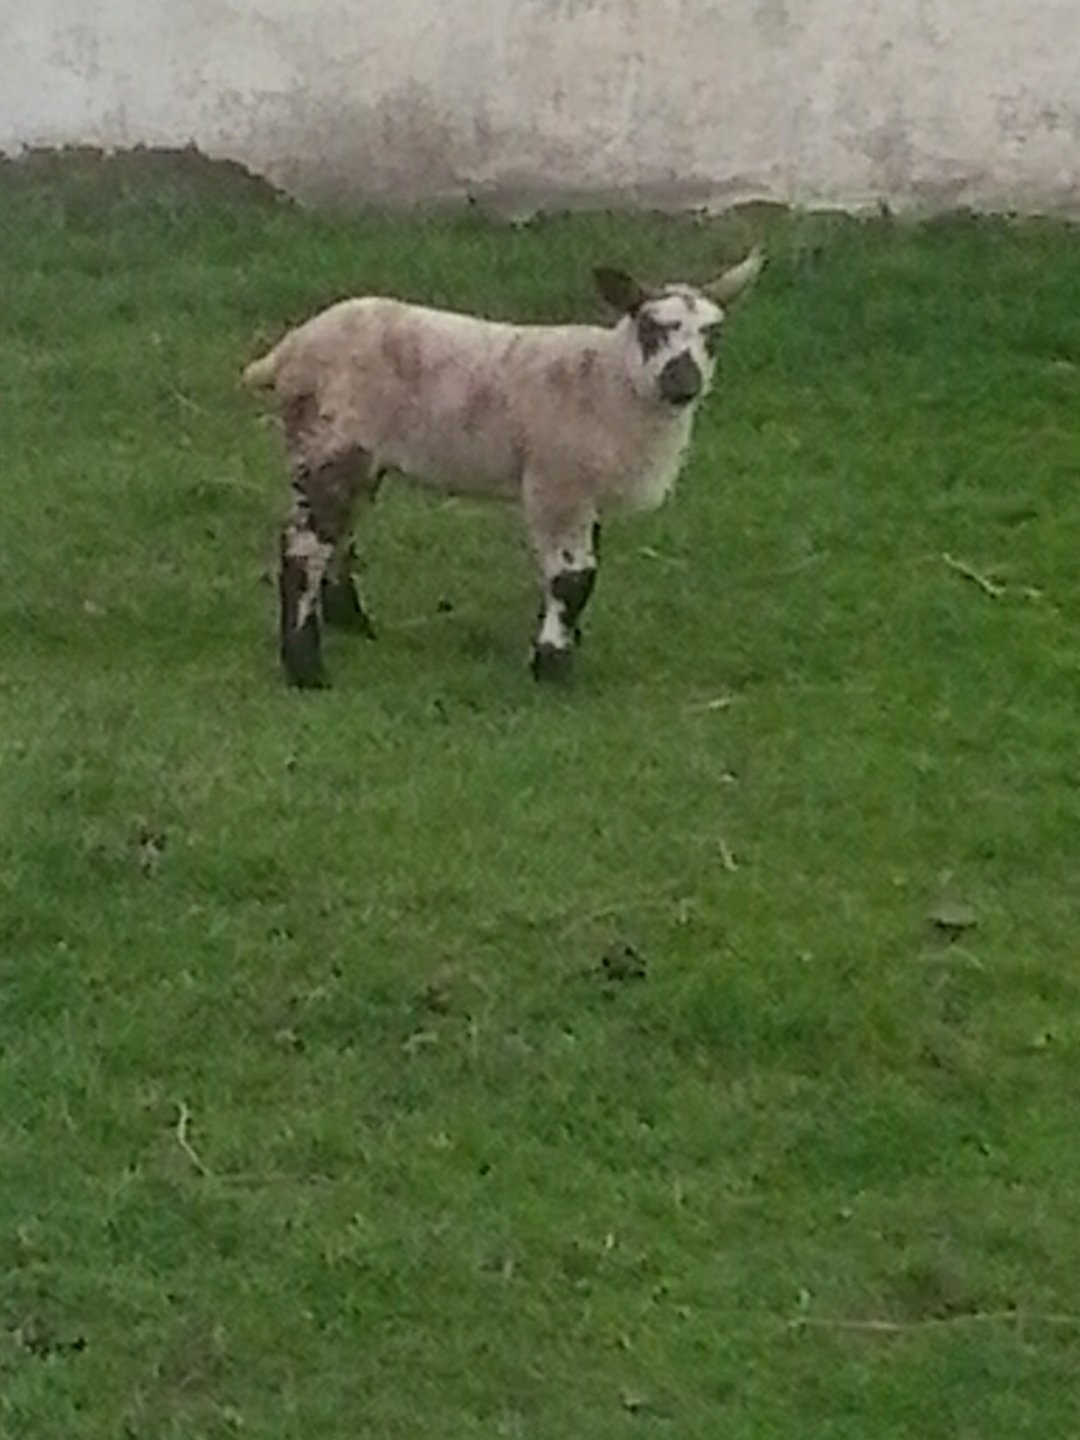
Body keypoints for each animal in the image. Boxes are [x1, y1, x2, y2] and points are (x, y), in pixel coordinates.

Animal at [243, 247, 764, 688]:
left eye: (714, 335)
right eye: (651, 327)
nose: (683, 382)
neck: (608, 380)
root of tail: (289, 351)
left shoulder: (584, 490)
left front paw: (565, 643)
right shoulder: (558, 483)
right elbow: (573, 578)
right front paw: (553, 667)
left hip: (340, 450)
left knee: (336, 538)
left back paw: (351, 624)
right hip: (336, 441)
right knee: (304, 549)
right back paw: (306, 668)